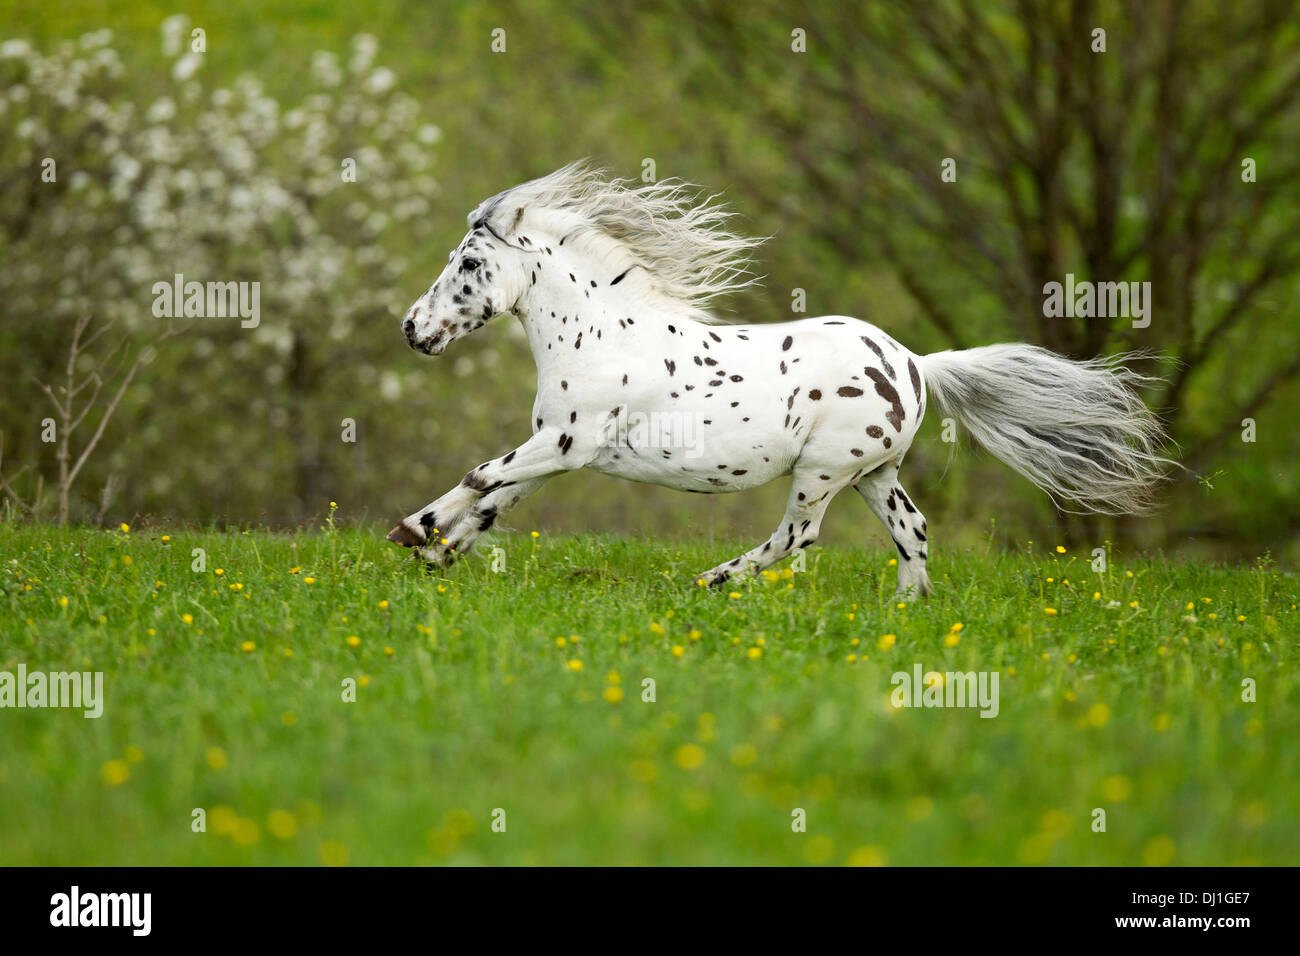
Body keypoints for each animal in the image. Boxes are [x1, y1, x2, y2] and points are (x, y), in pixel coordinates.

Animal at [389, 162, 1170, 597]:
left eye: (469, 263)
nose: (411, 330)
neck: (601, 338)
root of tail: (914, 365)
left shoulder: (566, 443)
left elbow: (481, 477)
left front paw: (417, 534)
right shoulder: (559, 449)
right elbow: (495, 497)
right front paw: (437, 547)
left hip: (822, 472)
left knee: (798, 538)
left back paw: (713, 581)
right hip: (874, 474)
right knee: (911, 530)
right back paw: (906, 610)